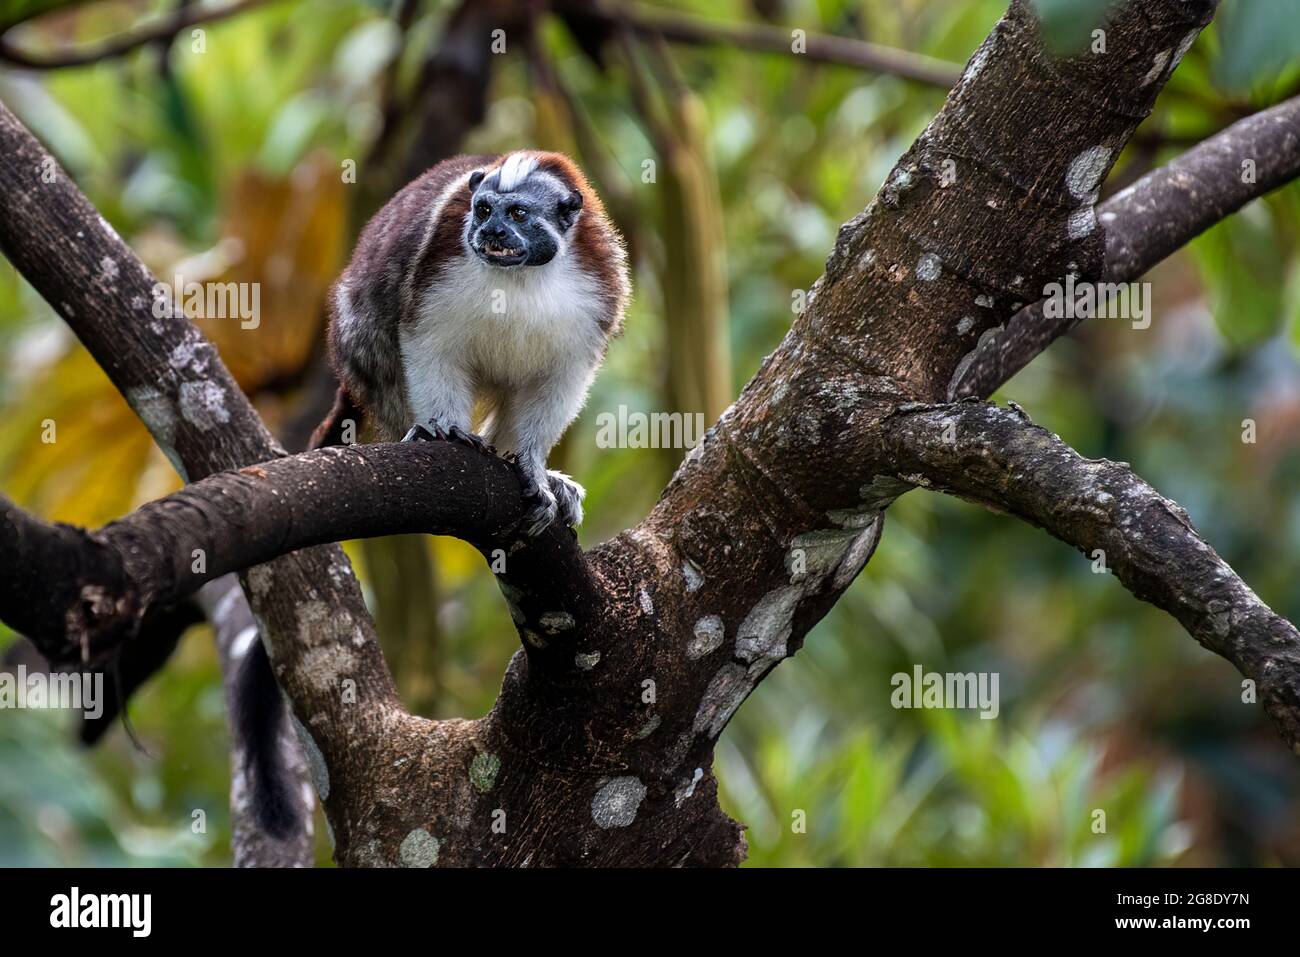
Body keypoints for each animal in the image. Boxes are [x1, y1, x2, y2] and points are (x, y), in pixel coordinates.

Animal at [239, 151, 629, 838]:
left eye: (516, 214)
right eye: (482, 210)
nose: (489, 232)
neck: (522, 277)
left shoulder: (597, 289)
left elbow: (555, 382)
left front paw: (535, 468)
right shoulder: (440, 266)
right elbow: (425, 343)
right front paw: (443, 430)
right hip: (360, 357)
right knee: (380, 335)